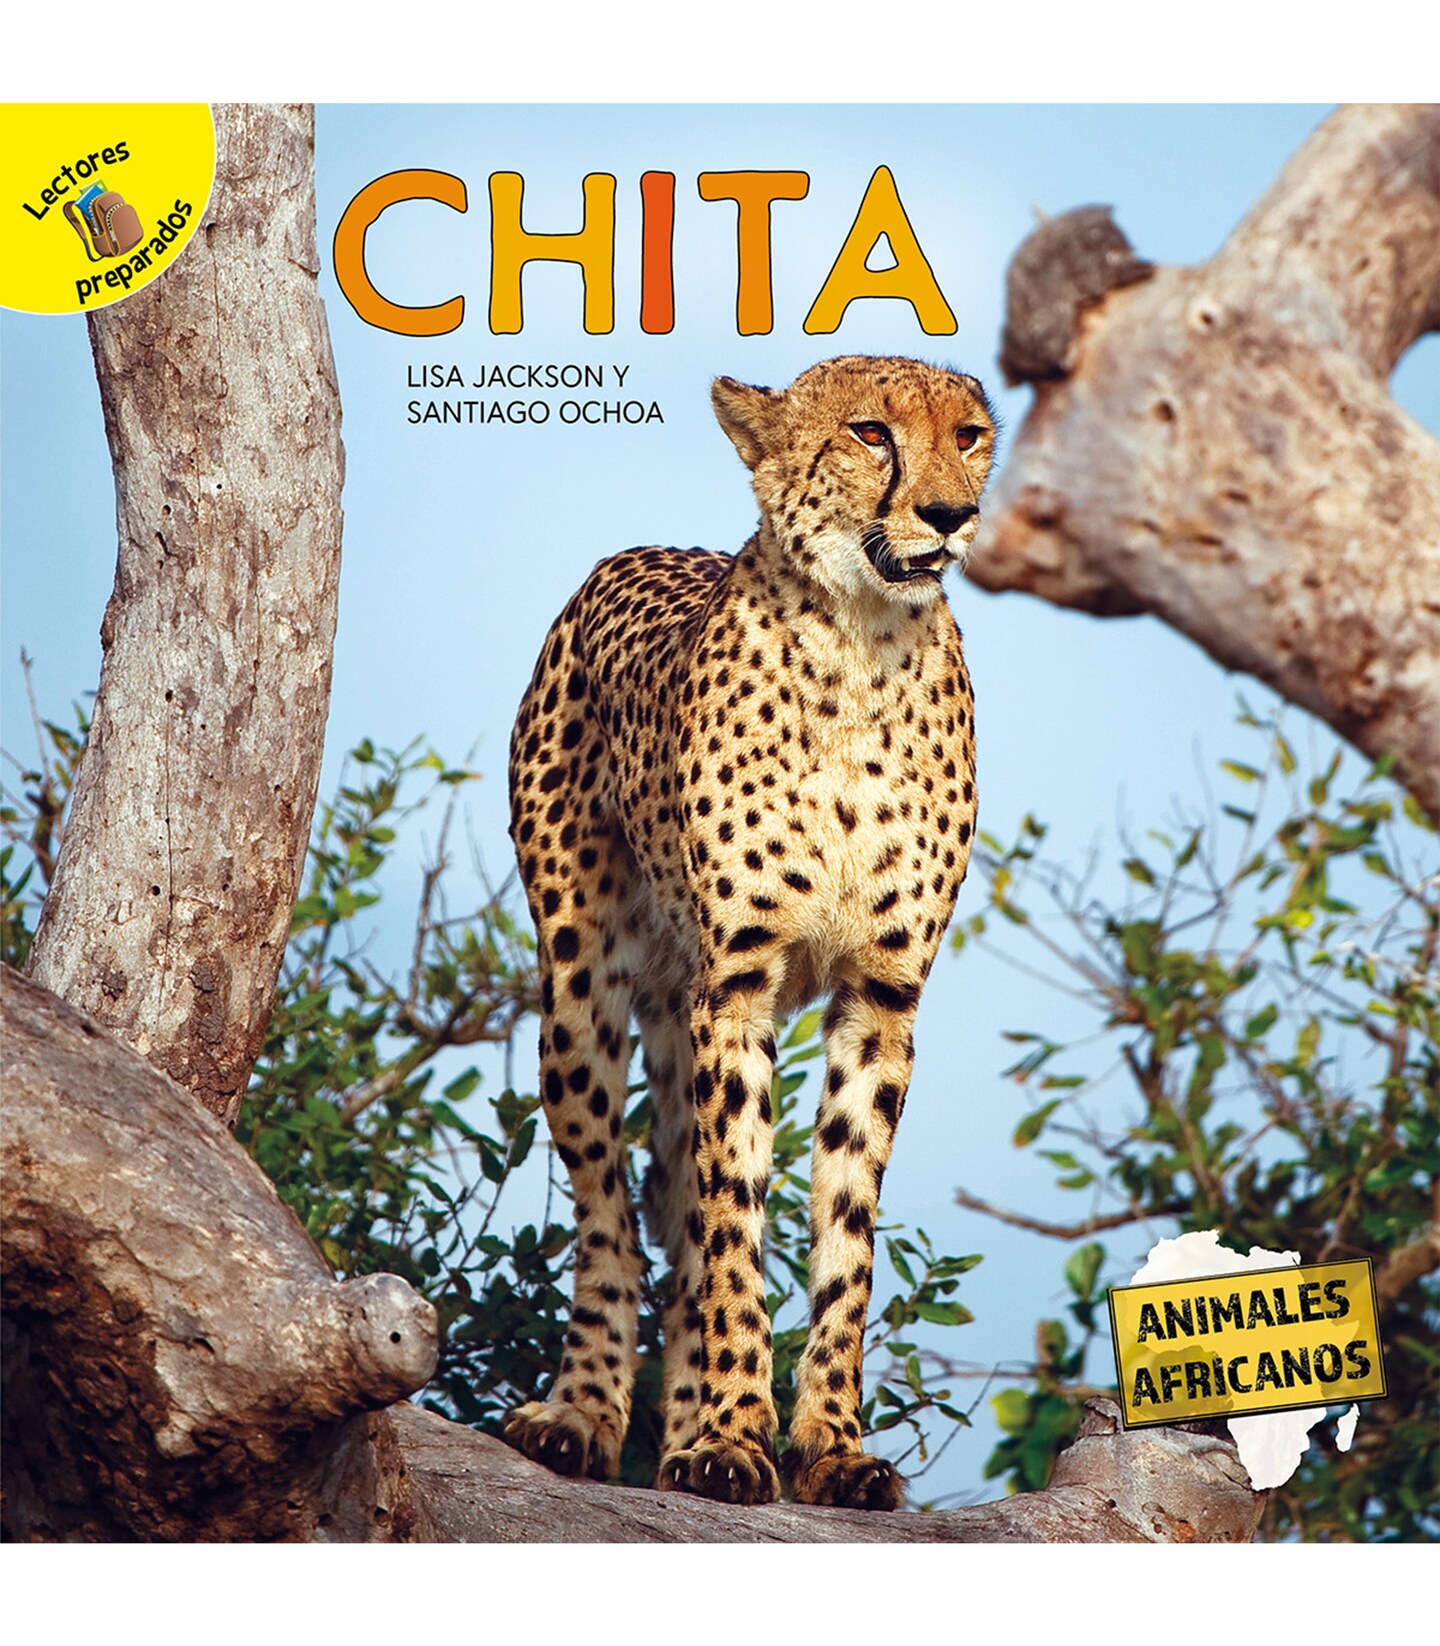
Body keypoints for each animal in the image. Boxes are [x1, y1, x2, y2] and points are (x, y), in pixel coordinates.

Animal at [502, 355, 997, 1510]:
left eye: (971, 434)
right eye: (871, 432)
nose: (950, 512)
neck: (865, 646)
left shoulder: (879, 999)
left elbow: (842, 1232)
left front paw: (829, 1445)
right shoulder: (737, 987)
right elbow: (733, 1218)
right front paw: (734, 1437)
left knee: (678, 1210)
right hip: (581, 991)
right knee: (613, 1218)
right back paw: (585, 1415)